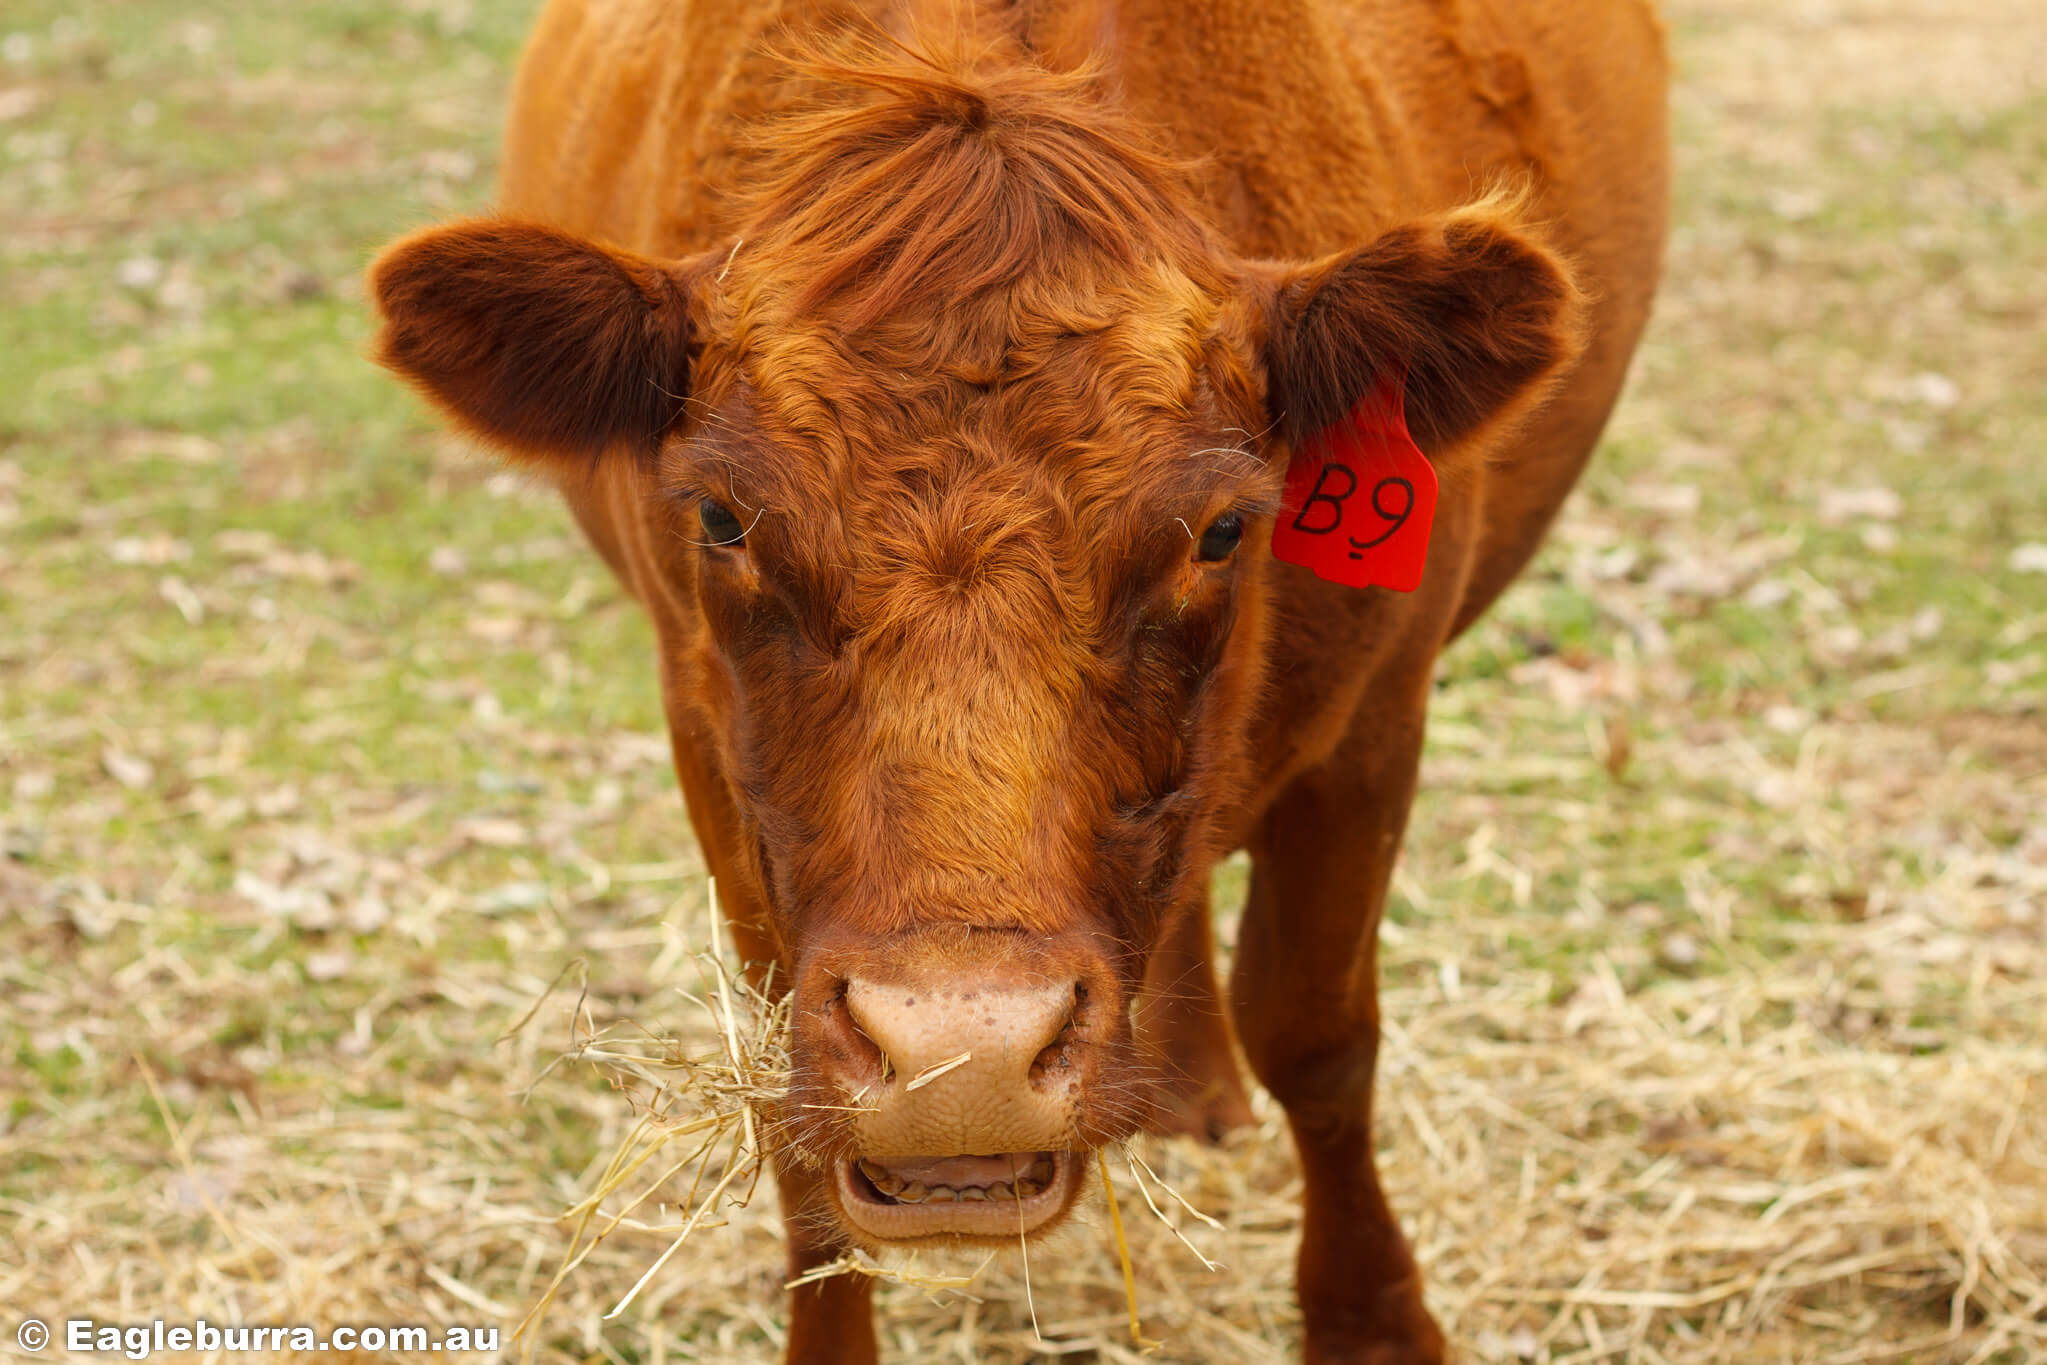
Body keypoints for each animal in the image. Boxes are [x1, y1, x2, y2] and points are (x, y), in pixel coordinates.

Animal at [369, 1, 1667, 1359]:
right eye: (721, 517)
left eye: (1220, 530)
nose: (966, 1062)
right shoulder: (707, 740)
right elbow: (788, 1097)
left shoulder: (1375, 717)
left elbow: (1318, 1038)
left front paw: (1374, 1323)